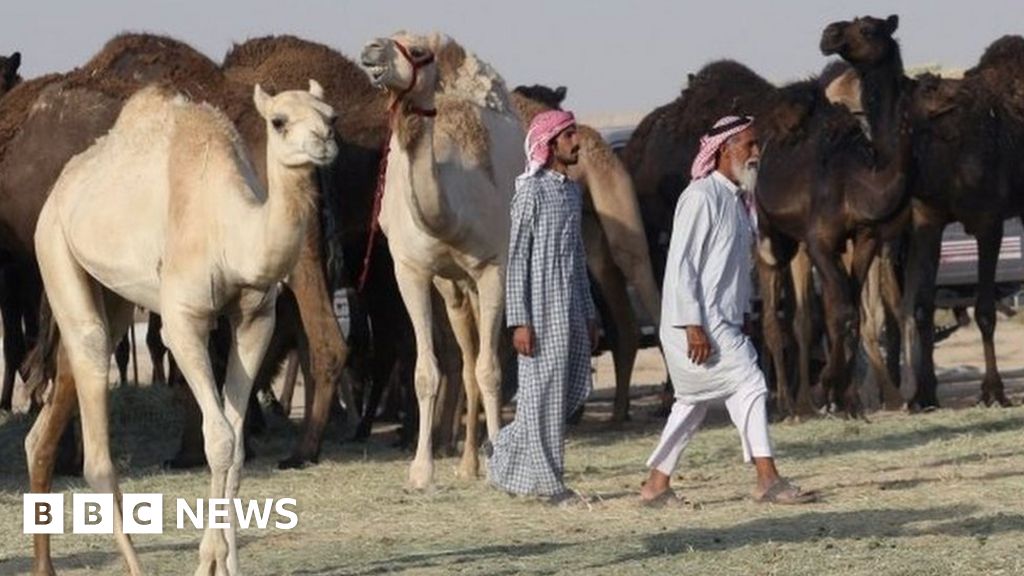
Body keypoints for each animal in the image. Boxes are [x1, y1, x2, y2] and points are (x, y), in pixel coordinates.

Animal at [33, 80, 336, 575]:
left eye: (332, 115)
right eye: (278, 121)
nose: (324, 141)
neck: (231, 231)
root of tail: (62, 184)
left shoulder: (256, 319)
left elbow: (237, 447)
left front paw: (225, 563)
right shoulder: (183, 321)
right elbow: (219, 439)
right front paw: (209, 561)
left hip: (114, 293)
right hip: (53, 246)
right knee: (95, 430)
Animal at [360, 31, 524, 487]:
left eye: (417, 53)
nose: (371, 50)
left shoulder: (493, 267)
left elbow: (491, 369)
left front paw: (499, 464)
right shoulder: (412, 271)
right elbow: (425, 373)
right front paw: (420, 470)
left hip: (480, 277)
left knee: (481, 360)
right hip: (451, 285)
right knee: (465, 361)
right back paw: (468, 463)